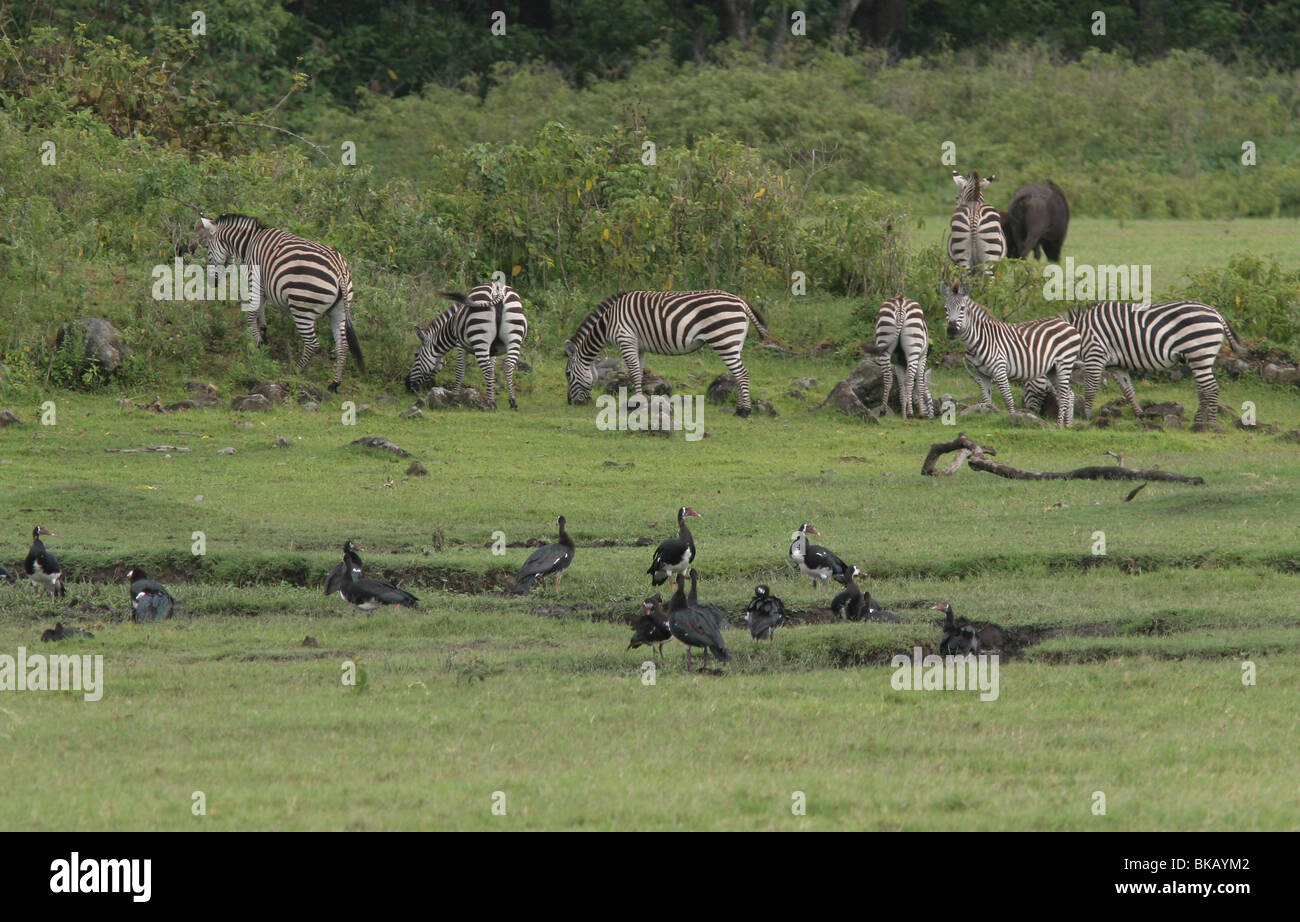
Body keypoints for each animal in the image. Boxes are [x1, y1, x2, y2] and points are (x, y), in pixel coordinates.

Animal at [196, 213, 363, 390]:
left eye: (207, 248)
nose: (212, 282)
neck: (249, 242)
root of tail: (339, 270)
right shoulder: (263, 285)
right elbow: (261, 310)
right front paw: (263, 336)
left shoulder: (254, 278)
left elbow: (252, 313)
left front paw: (255, 343)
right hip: (339, 311)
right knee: (342, 345)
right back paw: (334, 383)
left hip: (302, 307)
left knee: (313, 344)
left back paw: (295, 372)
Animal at [564, 290, 769, 416]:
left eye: (568, 374)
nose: (570, 402)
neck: (608, 322)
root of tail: (741, 302)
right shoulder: (638, 346)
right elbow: (637, 373)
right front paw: (636, 401)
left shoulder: (626, 340)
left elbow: (634, 373)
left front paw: (636, 403)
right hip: (735, 343)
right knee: (740, 375)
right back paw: (741, 408)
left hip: (724, 340)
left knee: (742, 374)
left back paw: (743, 411)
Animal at [939, 281, 1081, 428]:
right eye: (945, 309)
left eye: (962, 308)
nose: (951, 330)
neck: (979, 339)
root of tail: (1067, 324)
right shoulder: (982, 374)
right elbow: (986, 401)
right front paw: (987, 417)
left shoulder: (999, 369)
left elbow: (1008, 399)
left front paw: (1014, 419)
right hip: (1052, 369)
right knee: (1069, 394)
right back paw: (1068, 426)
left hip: (1064, 362)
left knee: (1064, 395)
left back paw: (1059, 426)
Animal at [1023, 301, 1246, 425]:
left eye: (1026, 385)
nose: (1028, 413)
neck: (1079, 334)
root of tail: (1217, 314)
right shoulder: (1116, 366)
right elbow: (1128, 390)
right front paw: (1140, 415)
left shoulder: (1095, 356)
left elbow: (1090, 389)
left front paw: (1086, 416)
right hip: (1197, 358)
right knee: (1203, 389)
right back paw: (1198, 421)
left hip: (1200, 352)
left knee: (1211, 388)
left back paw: (1210, 424)